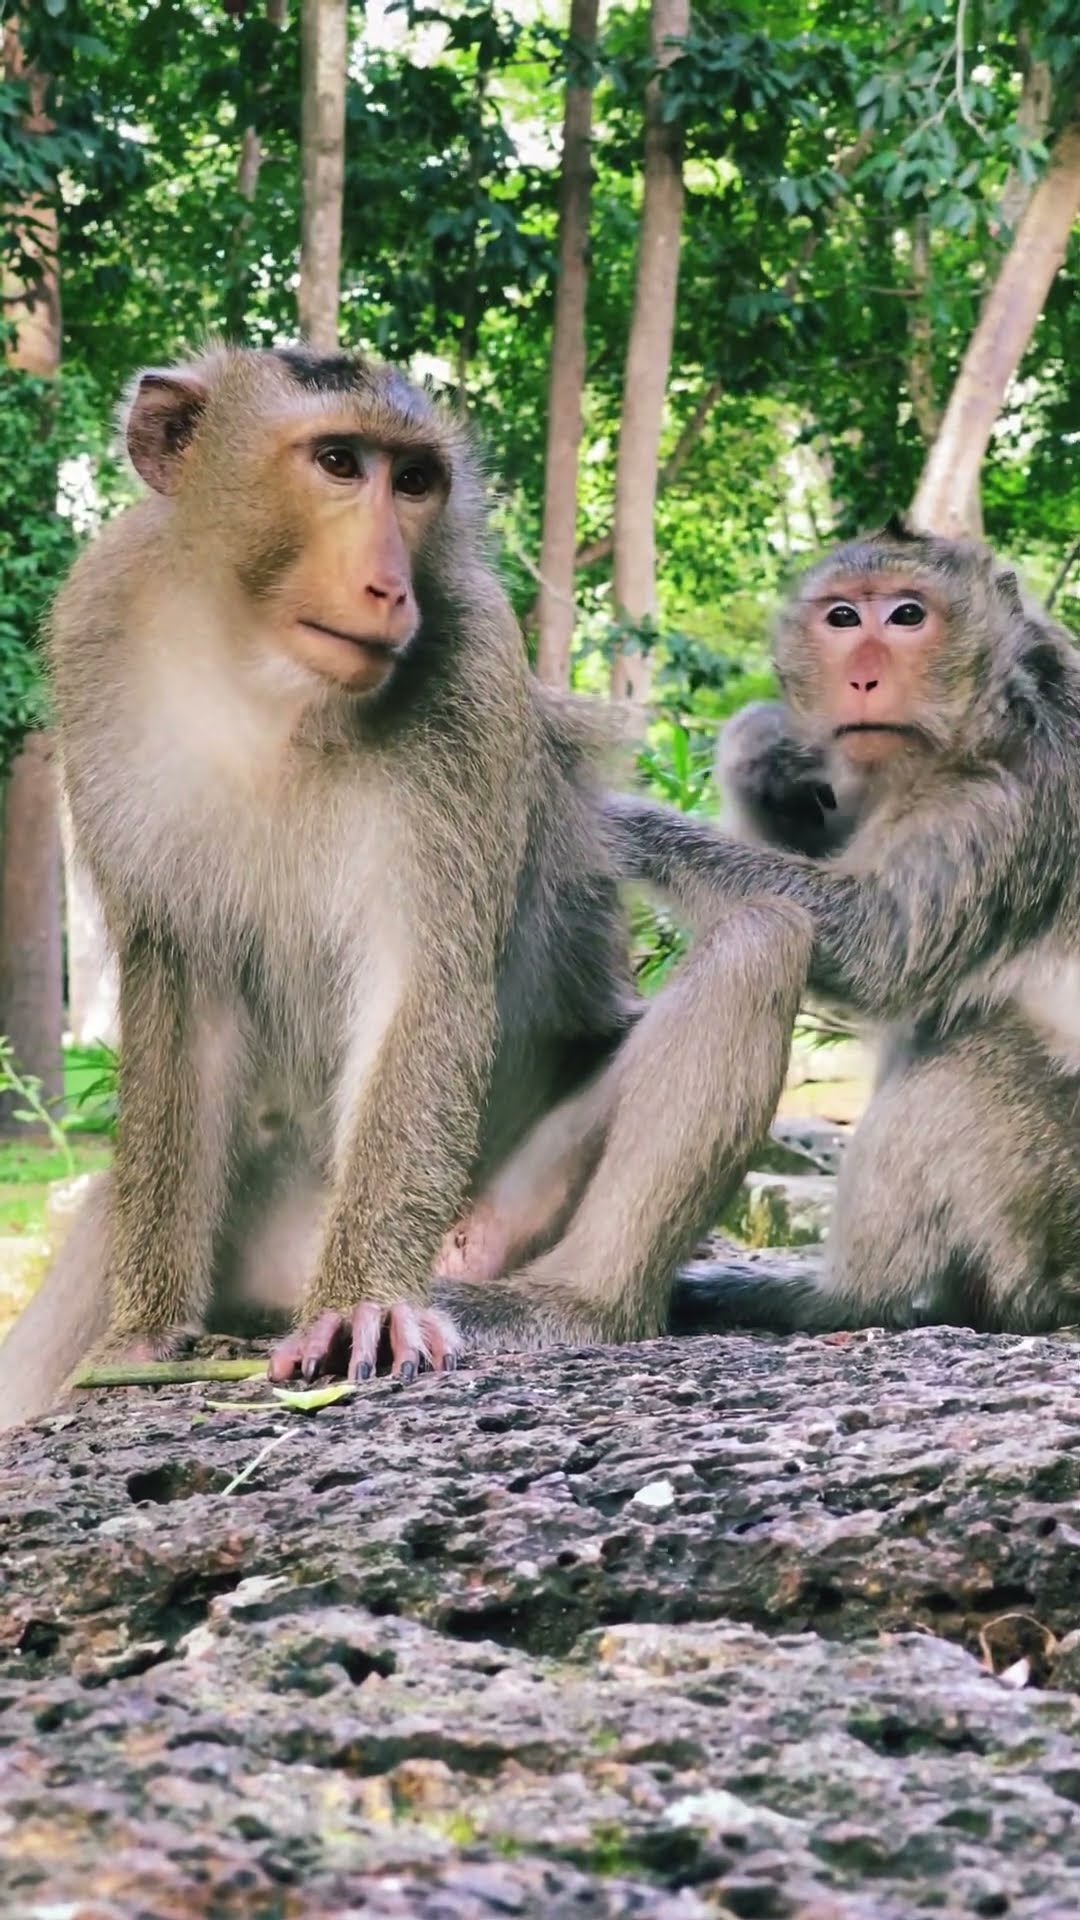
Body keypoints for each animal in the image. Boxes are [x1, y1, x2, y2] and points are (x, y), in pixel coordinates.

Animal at [0, 343, 810, 1427]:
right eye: (340, 463)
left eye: (416, 482)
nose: (389, 585)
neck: (267, 686)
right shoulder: (101, 641)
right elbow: (180, 985)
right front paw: (139, 1338)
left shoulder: (471, 666)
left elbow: (423, 978)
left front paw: (363, 1309)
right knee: (100, 1220)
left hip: (501, 1213)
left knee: (763, 940)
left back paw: (571, 1303)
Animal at [594, 518, 1080, 1338]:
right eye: (844, 617)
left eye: (909, 616)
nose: (863, 679)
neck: (989, 715)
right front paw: (758, 748)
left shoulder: (1007, 805)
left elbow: (878, 949)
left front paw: (617, 824)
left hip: (1052, 1206)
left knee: (967, 1051)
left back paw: (847, 1298)